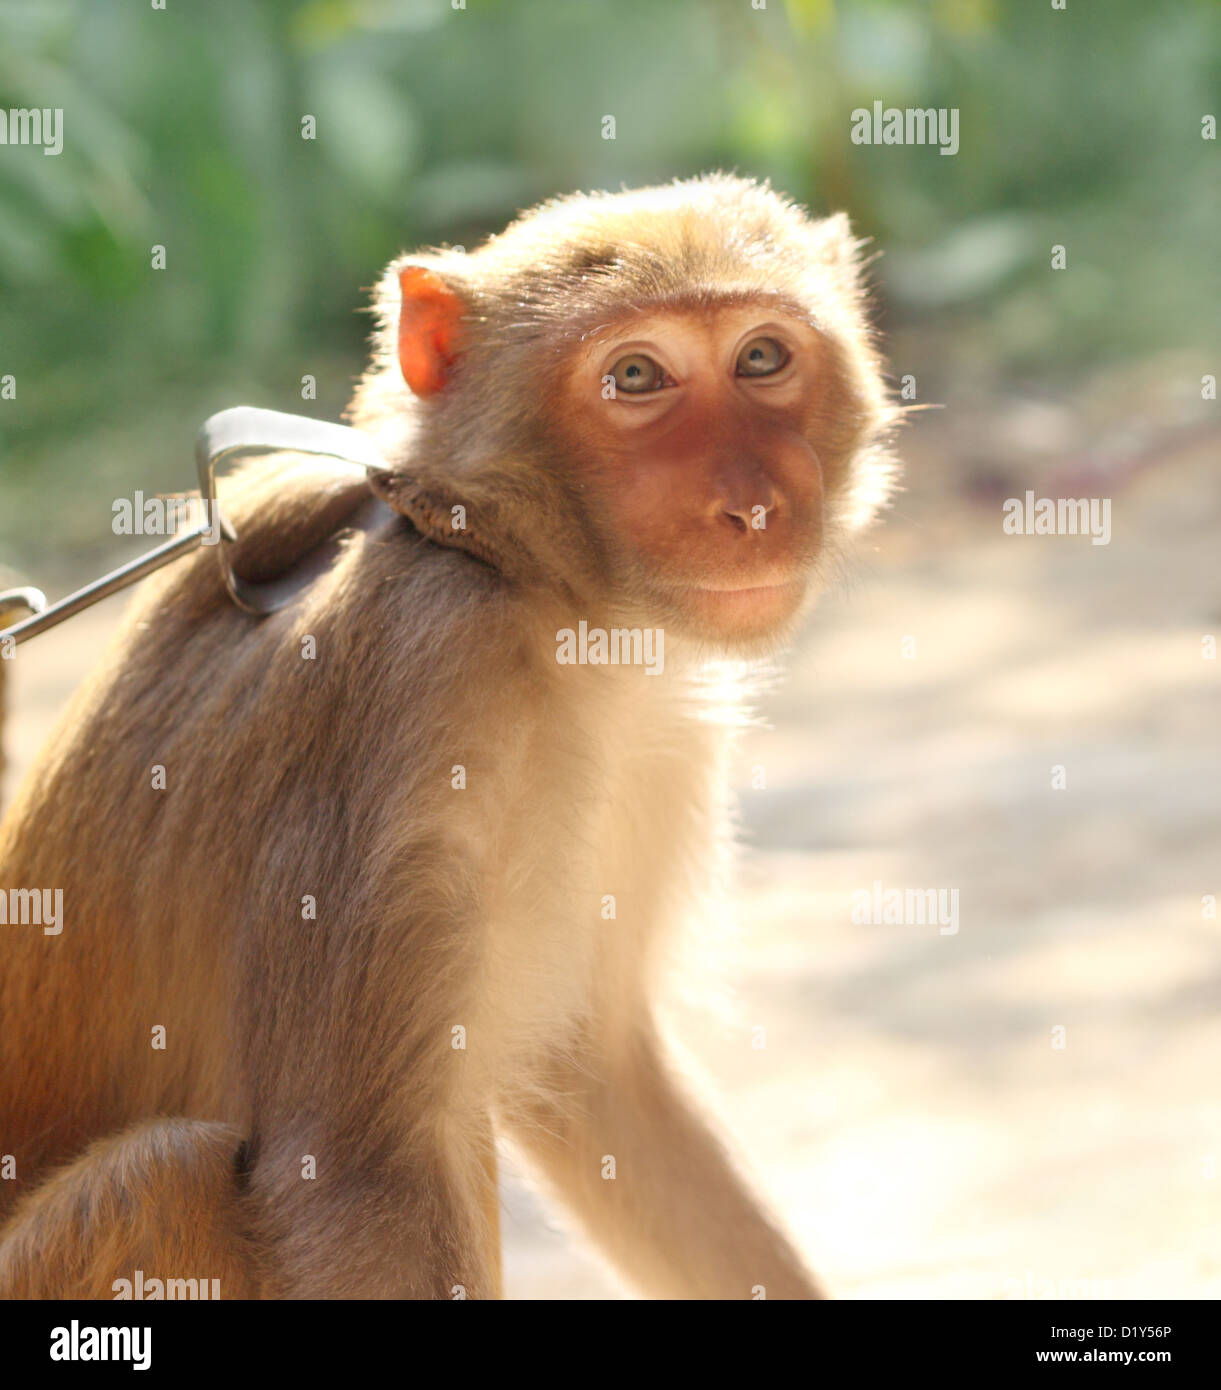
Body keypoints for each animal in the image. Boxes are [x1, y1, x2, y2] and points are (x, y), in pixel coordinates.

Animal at [0, 173, 898, 1300]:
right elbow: (357, 1174)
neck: (518, 577)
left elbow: (594, 1073)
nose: (753, 507)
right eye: (636, 376)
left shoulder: (655, 727)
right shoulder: (425, 671)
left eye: (763, 358)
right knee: (177, 1174)